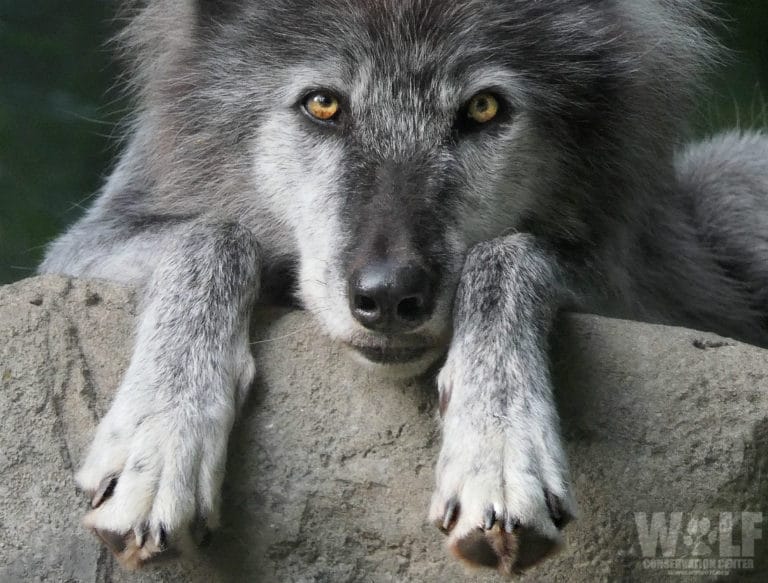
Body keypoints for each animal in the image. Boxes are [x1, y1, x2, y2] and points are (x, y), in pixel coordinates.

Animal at [40, 0, 768, 576]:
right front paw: (158, 440)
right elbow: (216, 233)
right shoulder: (81, 245)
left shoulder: (635, 283)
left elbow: (508, 255)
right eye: (323, 103)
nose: (389, 296)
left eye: (484, 107)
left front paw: (501, 449)